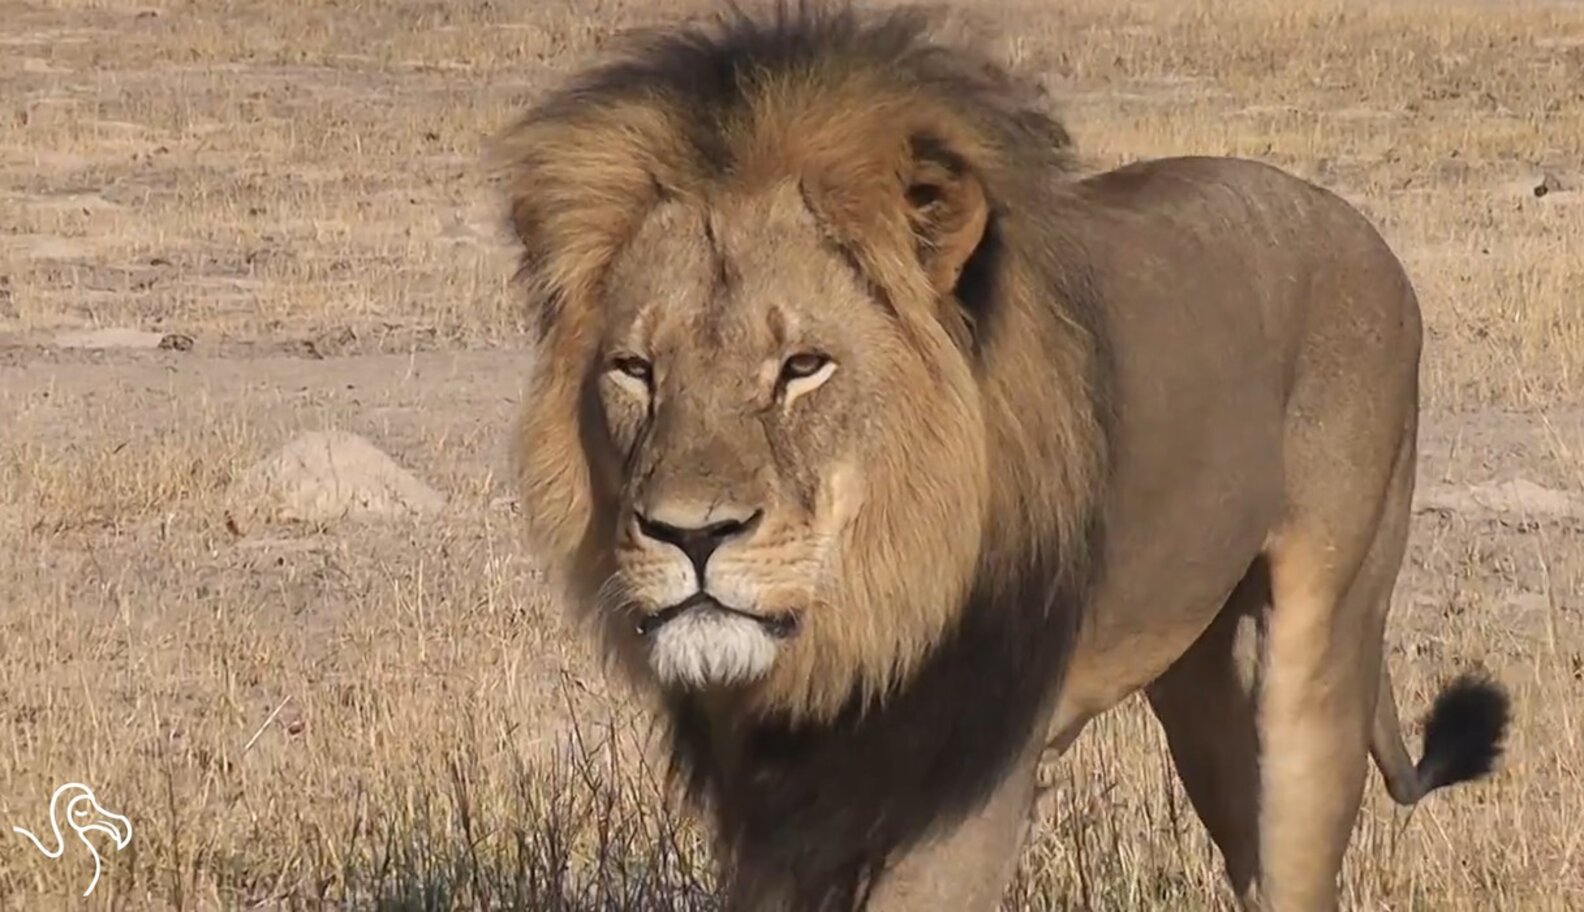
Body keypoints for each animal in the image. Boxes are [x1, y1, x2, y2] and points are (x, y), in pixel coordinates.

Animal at [496, 4, 1511, 910]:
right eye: (635, 369)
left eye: (802, 367)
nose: (689, 536)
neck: (858, 621)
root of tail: (1356, 225)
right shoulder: (776, 815)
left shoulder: (963, 798)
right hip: (1203, 682)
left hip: (1322, 647)